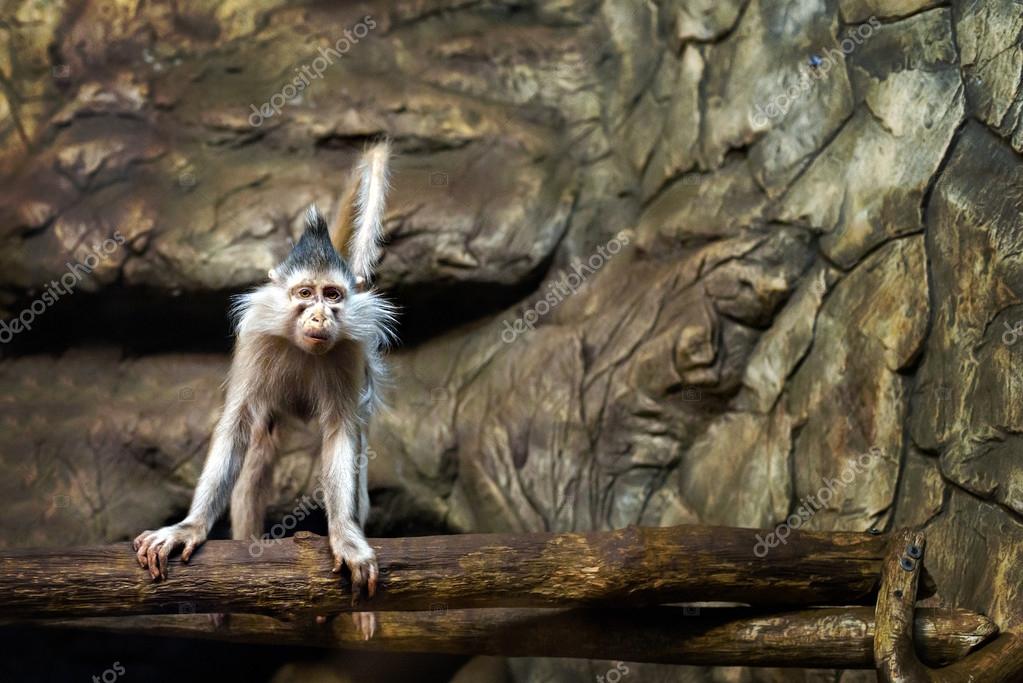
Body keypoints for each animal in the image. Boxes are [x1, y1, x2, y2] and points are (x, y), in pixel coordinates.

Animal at [133, 143, 395, 627]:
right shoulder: (256, 338)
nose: (320, 316)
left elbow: (340, 437)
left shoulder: (350, 352)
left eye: (332, 296)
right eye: (305, 294)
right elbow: (235, 426)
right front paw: (189, 527)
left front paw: (346, 538)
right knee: (257, 450)